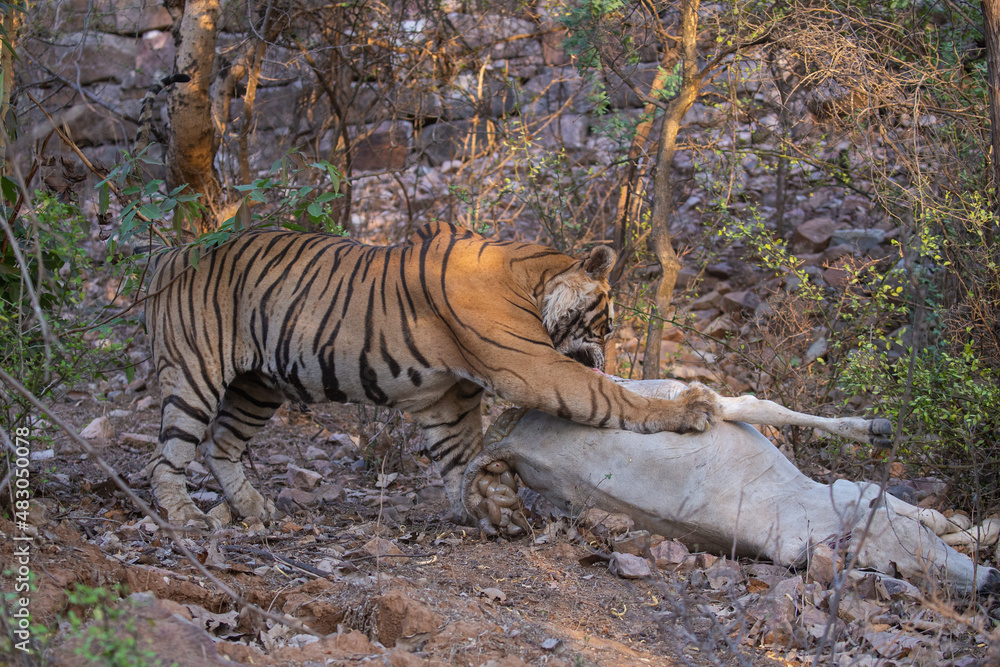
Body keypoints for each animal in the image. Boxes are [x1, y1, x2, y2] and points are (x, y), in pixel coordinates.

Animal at [143, 222, 720, 528]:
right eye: (606, 325)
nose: (606, 362)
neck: (533, 280)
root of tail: (174, 251)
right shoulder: (535, 368)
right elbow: (612, 400)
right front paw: (693, 407)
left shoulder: (447, 399)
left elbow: (460, 459)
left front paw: (488, 507)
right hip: (196, 375)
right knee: (167, 456)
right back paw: (183, 516)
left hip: (257, 387)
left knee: (220, 446)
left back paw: (253, 507)